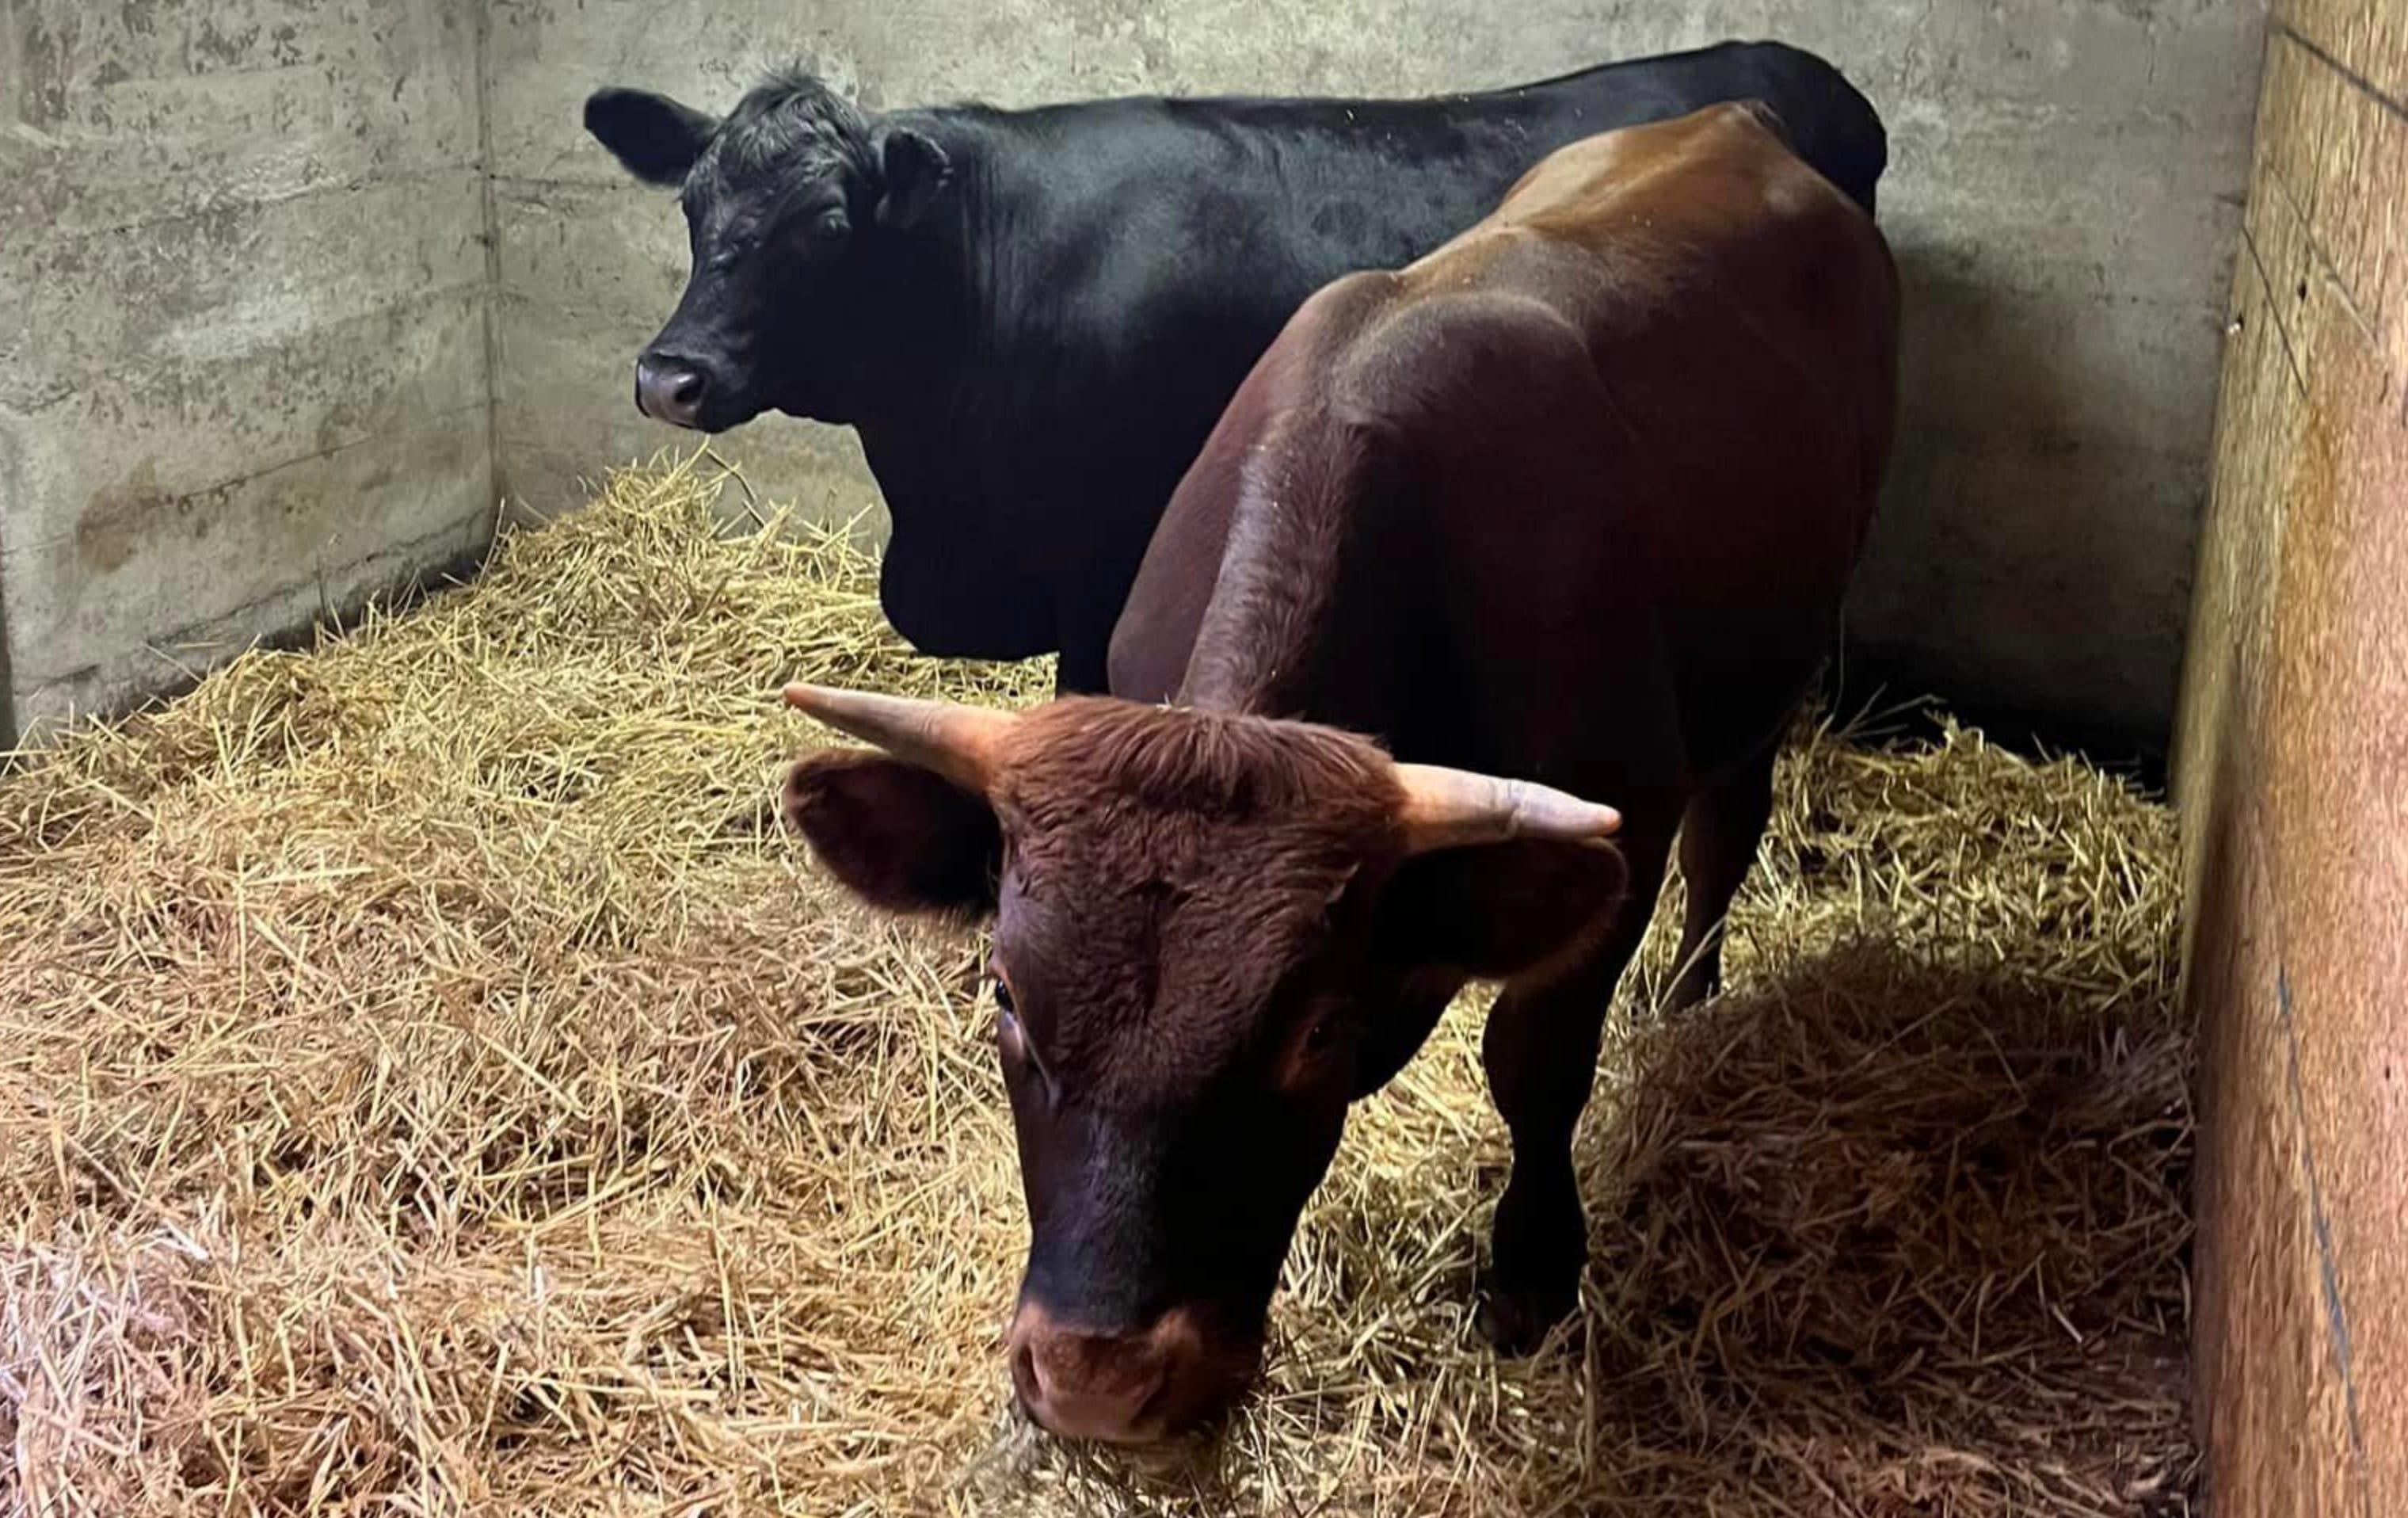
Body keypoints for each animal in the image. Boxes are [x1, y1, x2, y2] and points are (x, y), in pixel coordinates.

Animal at [776, 101, 1900, 1444]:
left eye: (1312, 1029)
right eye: (1004, 996)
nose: (1098, 1379)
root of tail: (1735, 119)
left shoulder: (1618, 823)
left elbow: (1535, 1062)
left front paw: (1532, 1269)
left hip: (1783, 655)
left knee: (1729, 831)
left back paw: (1683, 999)